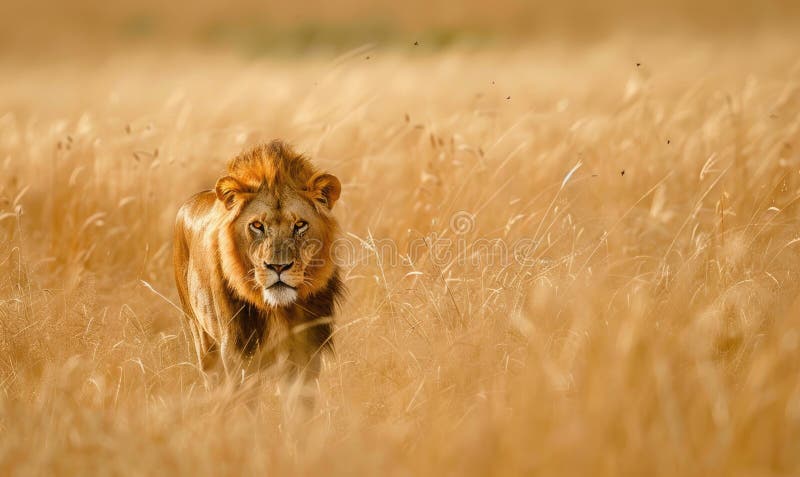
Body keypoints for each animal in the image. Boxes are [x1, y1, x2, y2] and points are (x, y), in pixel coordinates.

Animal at [173, 140, 343, 401]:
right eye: (257, 225)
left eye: (300, 225)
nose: (278, 266)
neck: (279, 310)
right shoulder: (238, 357)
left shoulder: (306, 355)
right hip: (203, 341)